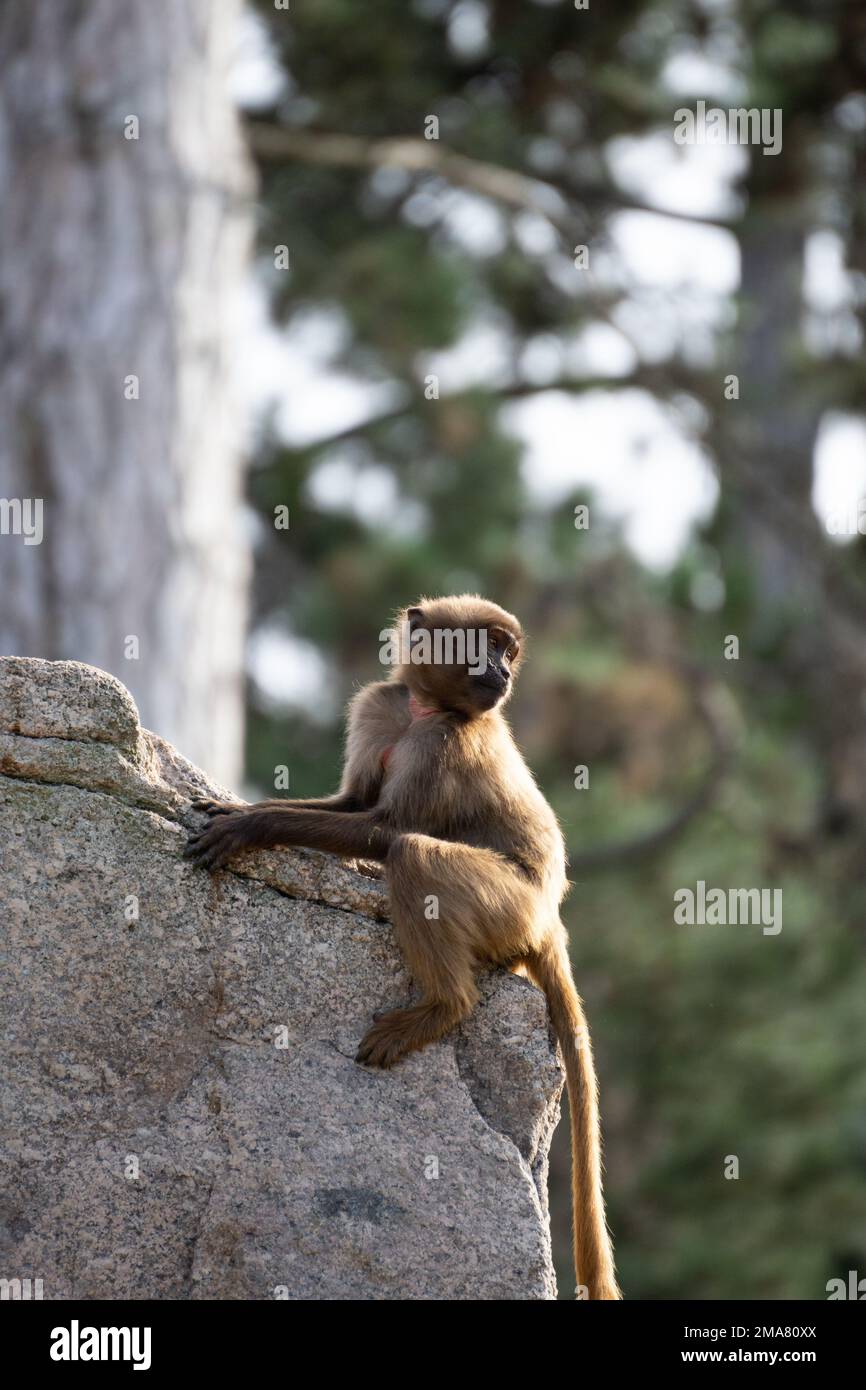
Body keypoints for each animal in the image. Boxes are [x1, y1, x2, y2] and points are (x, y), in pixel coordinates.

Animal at [185, 595, 620, 1300]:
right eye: (487, 646)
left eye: (507, 650)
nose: (502, 671)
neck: (423, 708)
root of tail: (550, 919)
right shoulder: (378, 707)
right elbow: (351, 803)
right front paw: (238, 807)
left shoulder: (447, 742)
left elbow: (385, 828)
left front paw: (250, 824)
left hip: (505, 905)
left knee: (413, 854)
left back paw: (445, 1006)